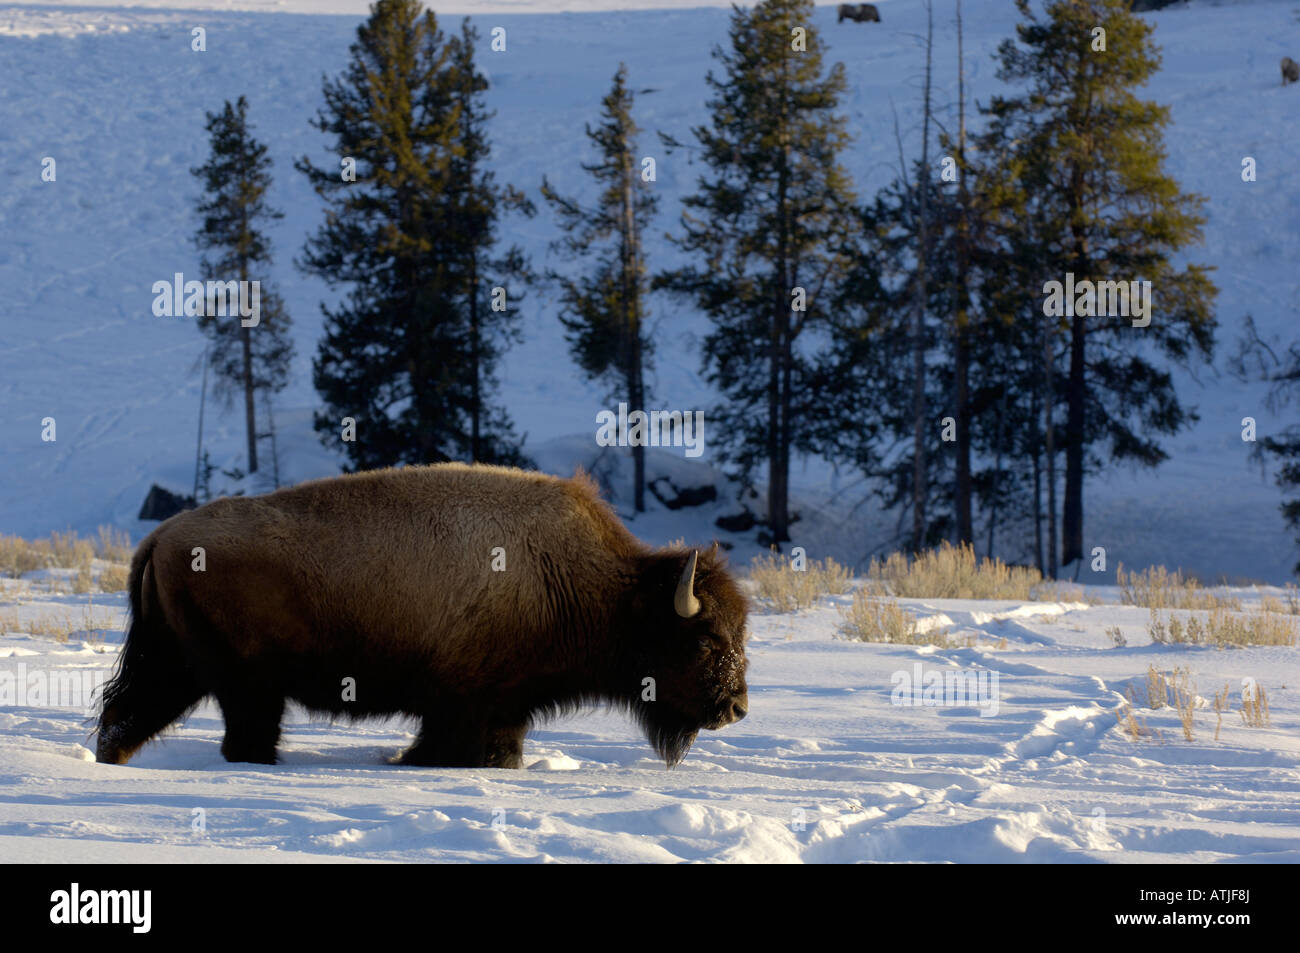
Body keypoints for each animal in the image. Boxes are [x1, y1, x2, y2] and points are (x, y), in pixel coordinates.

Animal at [96, 464, 750, 769]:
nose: (738, 707)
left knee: (124, 719)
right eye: (705, 638)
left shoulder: (501, 709)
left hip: (177, 669)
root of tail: (159, 539)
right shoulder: (469, 704)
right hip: (243, 685)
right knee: (238, 735)